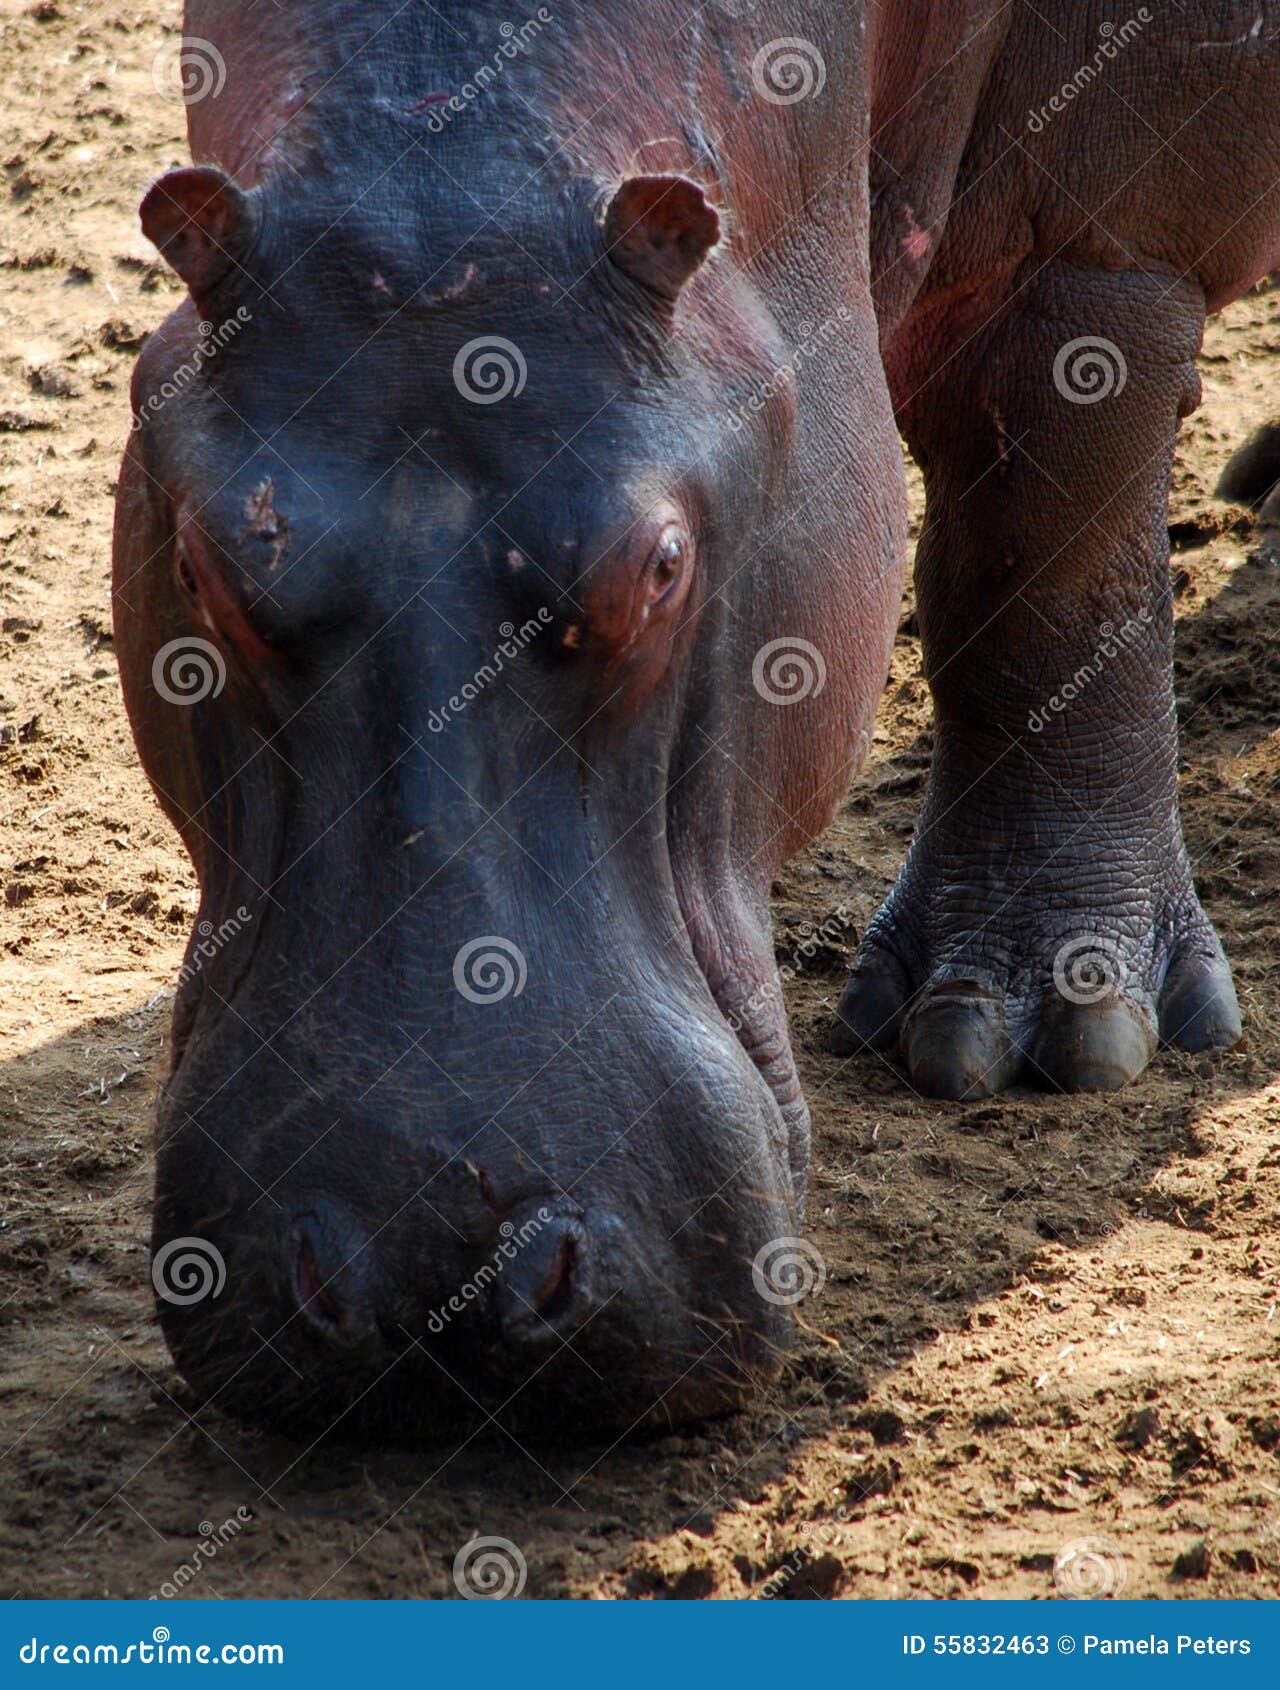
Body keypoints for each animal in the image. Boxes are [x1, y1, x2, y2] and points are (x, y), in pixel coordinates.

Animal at [114, 0, 1274, 1437]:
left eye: (659, 566)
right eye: (208, 560)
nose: (430, 1270)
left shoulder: (1103, 224)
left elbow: (1054, 533)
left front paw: (1037, 1034)